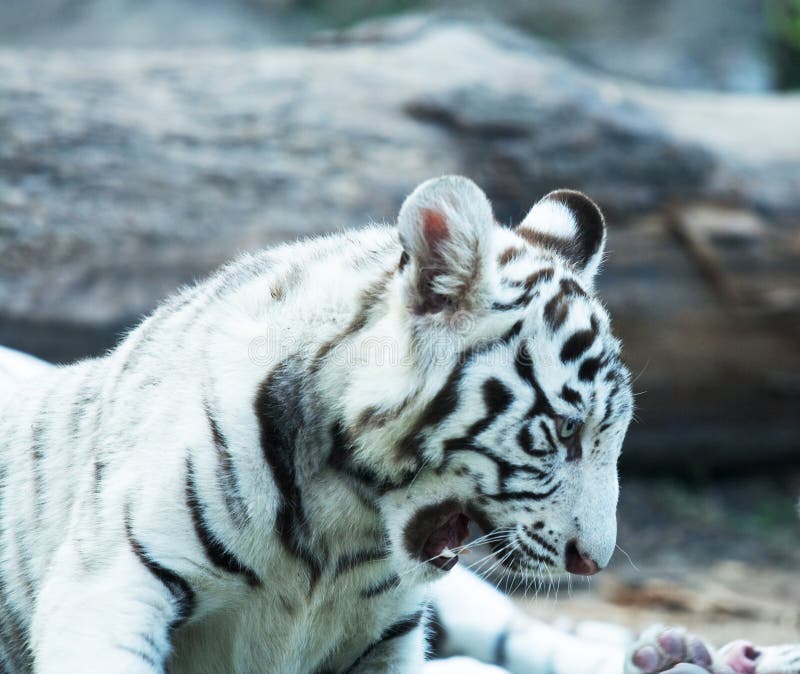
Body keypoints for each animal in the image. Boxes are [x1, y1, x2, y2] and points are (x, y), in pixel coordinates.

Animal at [0, 173, 783, 674]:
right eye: (564, 434)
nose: (594, 561)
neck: (336, 534)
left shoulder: (390, 636)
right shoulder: (115, 581)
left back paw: (694, 654)